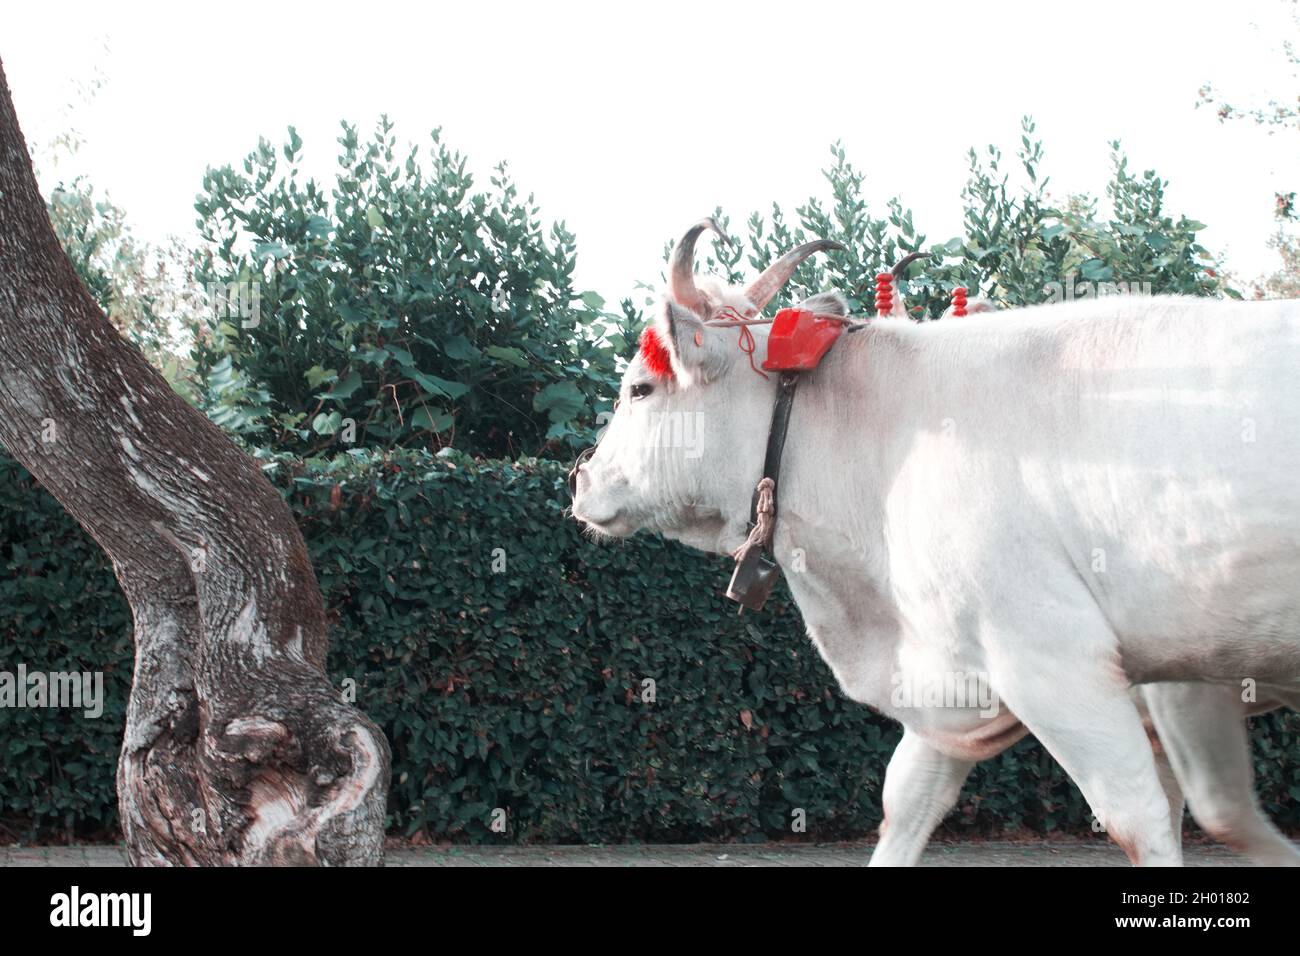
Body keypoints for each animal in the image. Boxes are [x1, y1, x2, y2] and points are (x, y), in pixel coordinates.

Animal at [569, 218, 1300, 866]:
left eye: (641, 388)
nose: (581, 478)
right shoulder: (956, 664)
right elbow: (905, 806)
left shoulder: (1056, 661)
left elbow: (1146, 818)